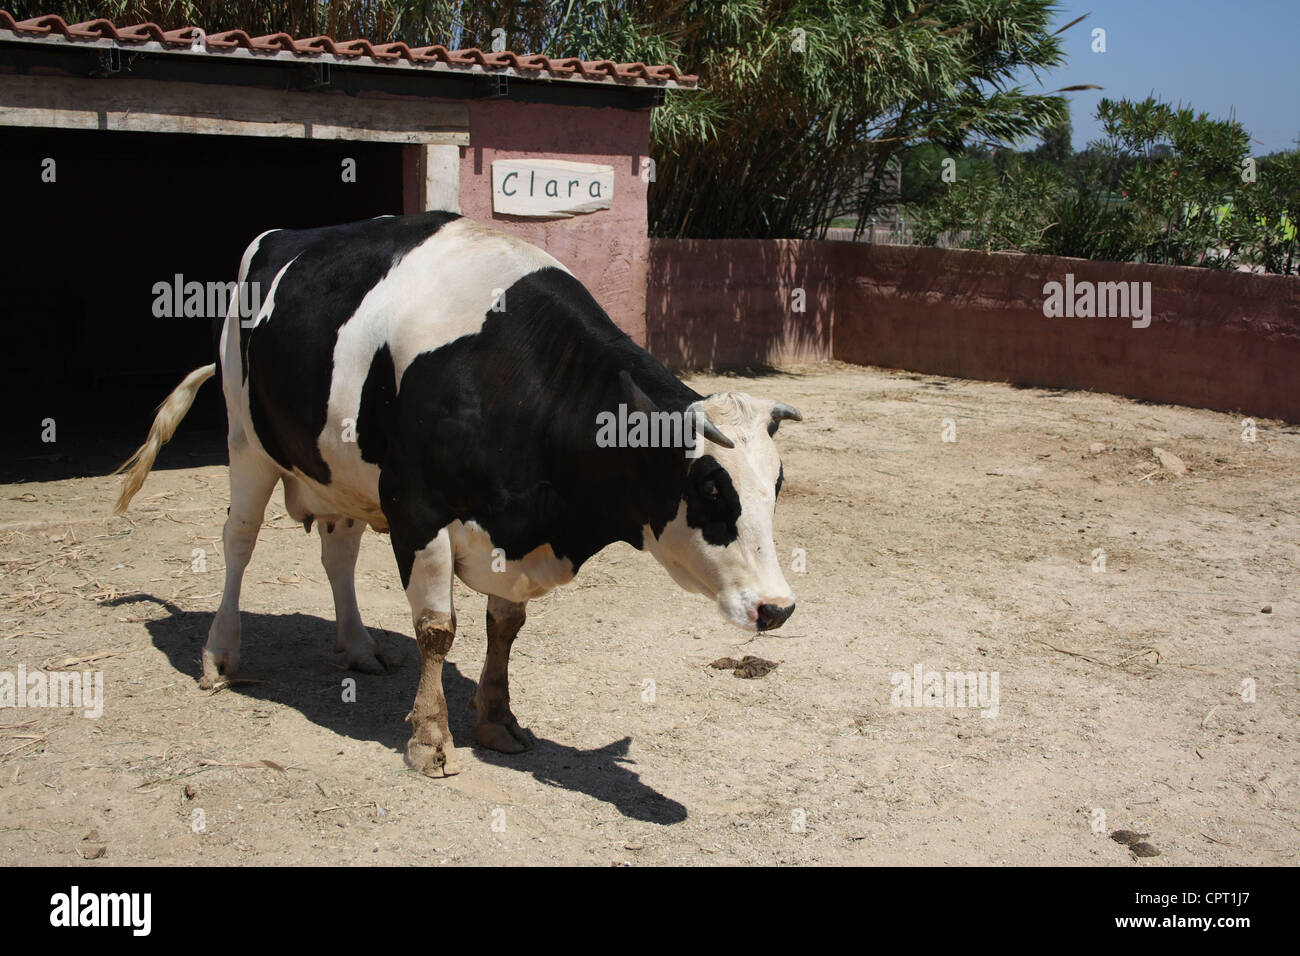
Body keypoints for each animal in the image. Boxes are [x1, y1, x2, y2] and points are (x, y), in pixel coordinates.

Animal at [114, 211, 803, 777]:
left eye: (775, 485)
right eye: (709, 487)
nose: (777, 608)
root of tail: (278, 236)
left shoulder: (506, 534)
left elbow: (506, 626)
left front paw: (496, 721)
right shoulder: (418, 509)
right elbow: (435, 630)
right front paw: (430, 738)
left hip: (343, 475)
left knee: (338, 556)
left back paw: (358, 647)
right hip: (246, 440)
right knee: (239, 541)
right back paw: (219, 657)